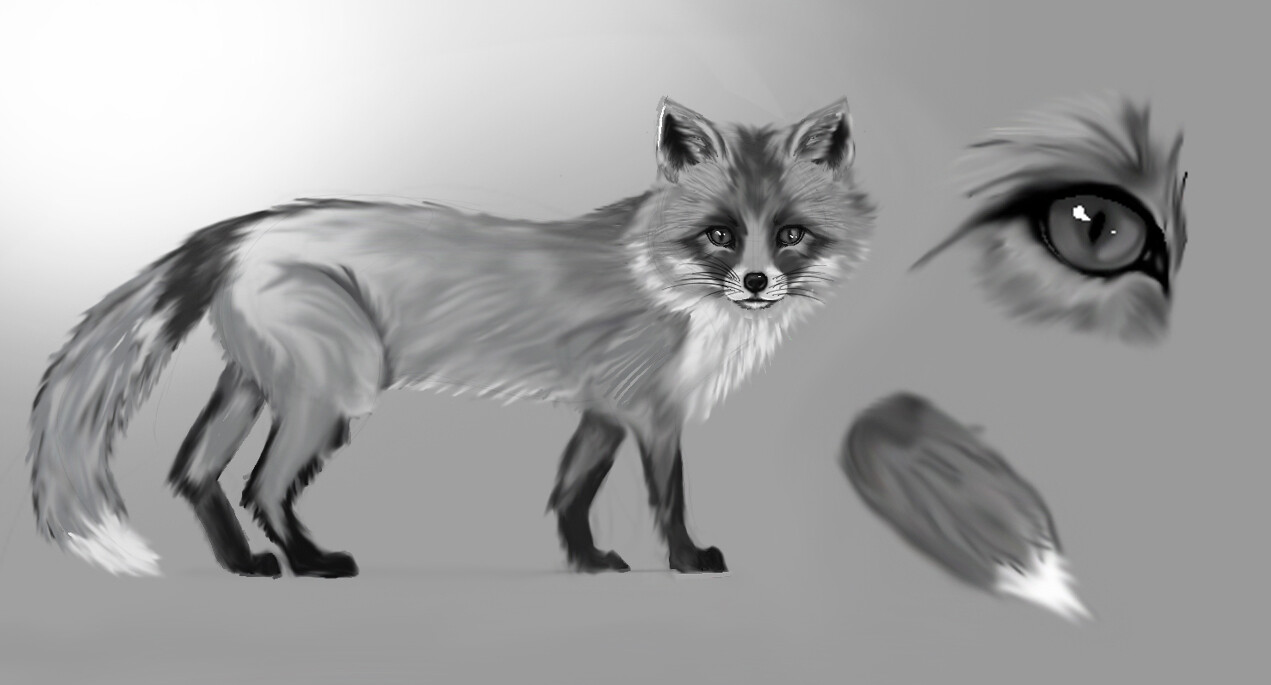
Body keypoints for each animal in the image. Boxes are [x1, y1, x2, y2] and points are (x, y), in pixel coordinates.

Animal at [25, 97, 877, 579]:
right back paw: (313, 564)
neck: (663, 272)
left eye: (791, 234)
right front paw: (687, 561)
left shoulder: (604, 408)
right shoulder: (650, 409)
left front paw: (589, 563)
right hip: (337, 388)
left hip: (257, 382)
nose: (757, 283)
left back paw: (246, 566)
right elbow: (668, 497)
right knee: (259, 484)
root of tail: (240, 225)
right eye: (720, 235)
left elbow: (568, 492)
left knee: (194, 473)